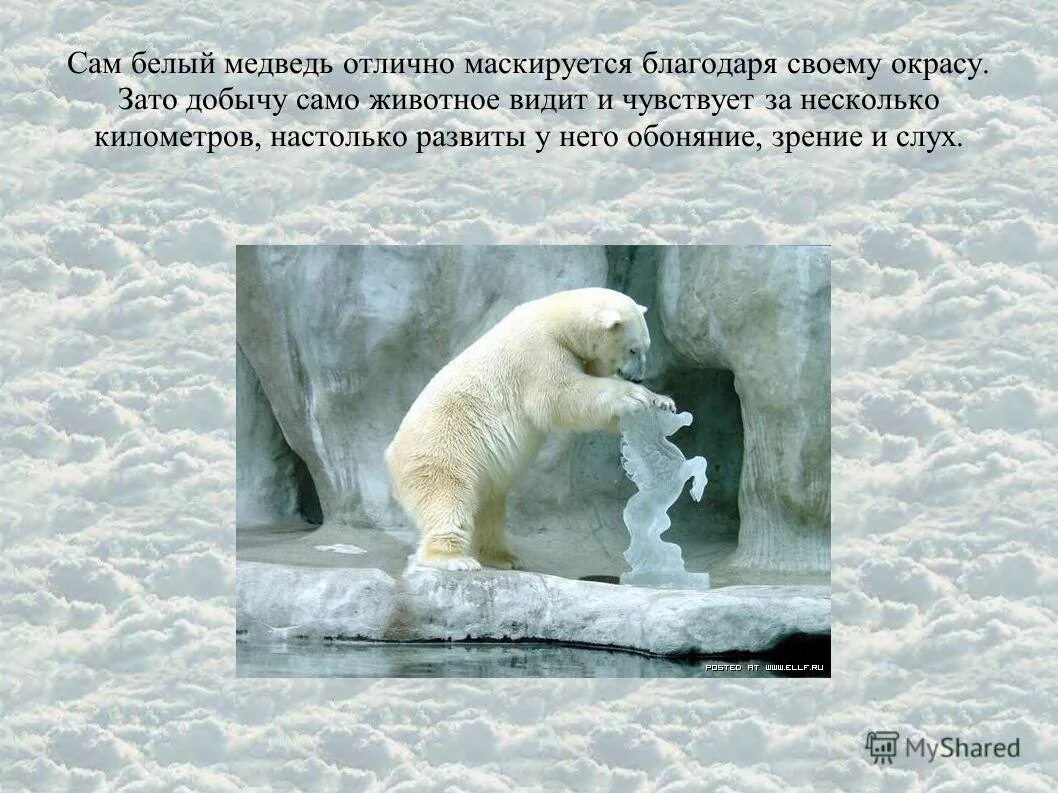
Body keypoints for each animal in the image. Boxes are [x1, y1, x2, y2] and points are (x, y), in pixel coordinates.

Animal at [385, 287, 675, 571]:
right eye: (633, 350)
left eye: (645, 347)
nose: (637, 377)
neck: (556, 321)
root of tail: (390, 459)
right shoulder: (539, 354)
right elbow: (562, 396)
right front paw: (635, 396)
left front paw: (661, 402)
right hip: (444, 451)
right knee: (447, 498)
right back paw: (454, 558)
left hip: (482, 472)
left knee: (489, 508)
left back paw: (501, 556)